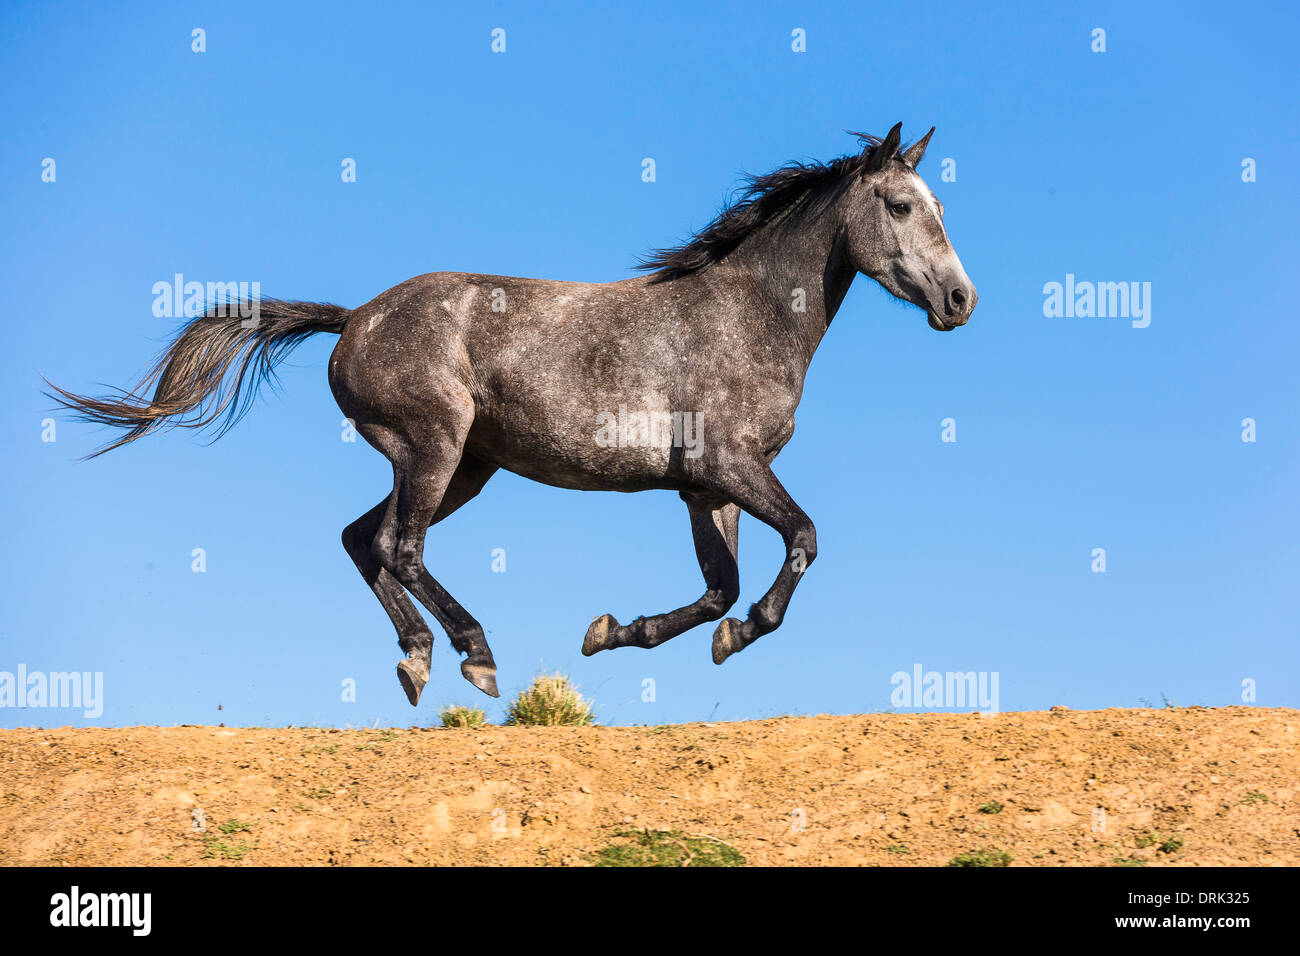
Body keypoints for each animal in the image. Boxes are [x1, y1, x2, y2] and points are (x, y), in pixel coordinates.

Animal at [47, 123, 977, 706]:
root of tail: (353, 321)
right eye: (900, 206)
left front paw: (617, 632)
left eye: (941, 208)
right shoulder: (730, 466)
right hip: (433, 446)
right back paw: (475, 657)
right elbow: (802, 541)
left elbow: (721, 589)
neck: (743, 314)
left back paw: (418, 659)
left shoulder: (704, 489)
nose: (961, 301)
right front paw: (733, 633)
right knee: (399, 546)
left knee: (362, 541)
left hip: (465, 466)